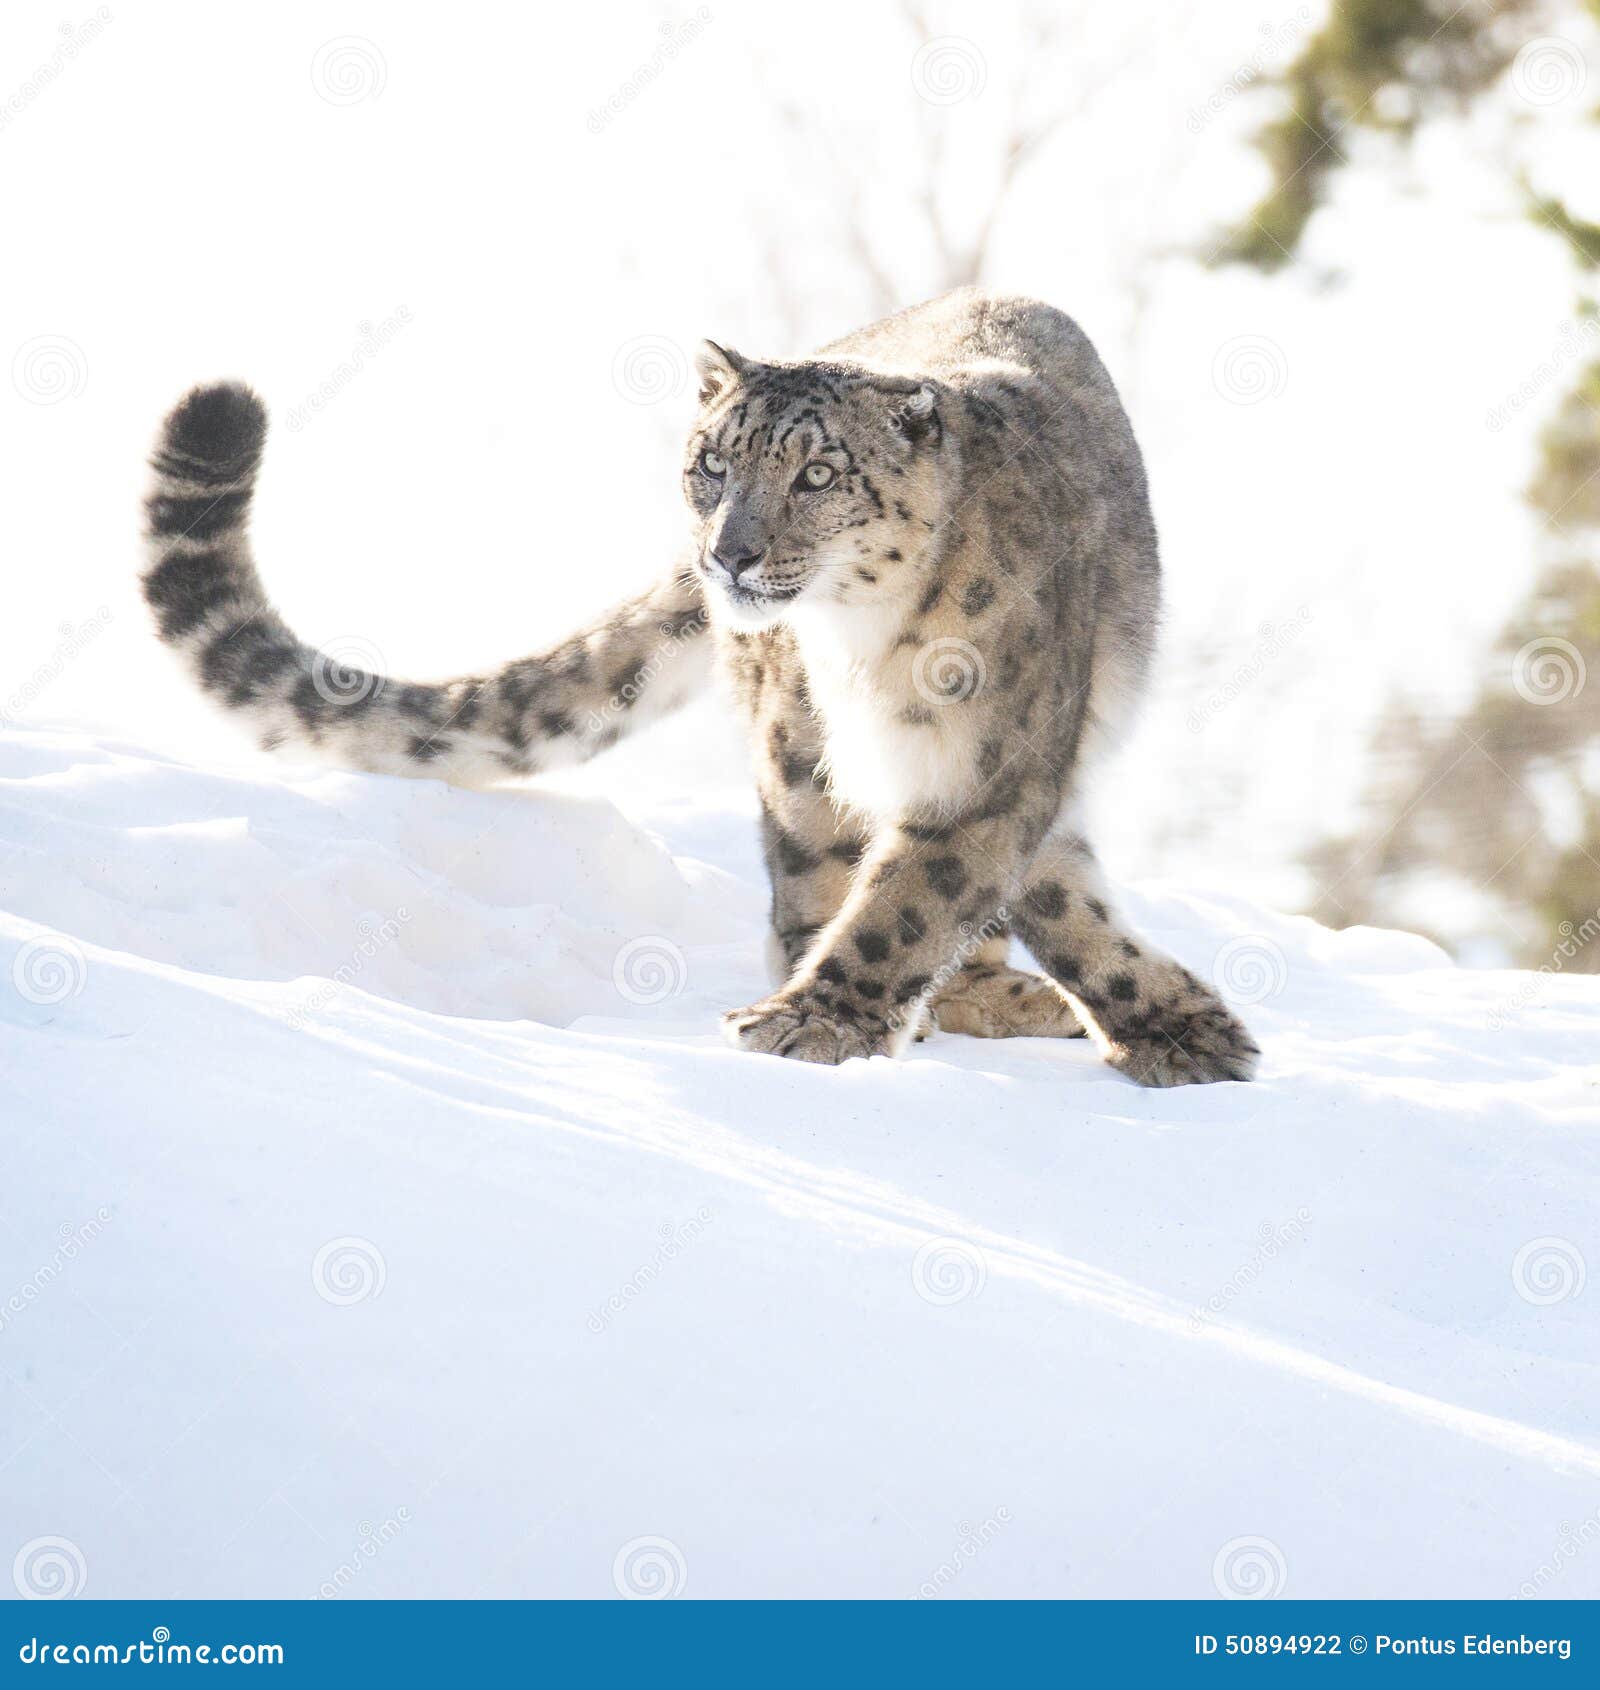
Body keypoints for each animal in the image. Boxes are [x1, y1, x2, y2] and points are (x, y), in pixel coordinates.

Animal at [140, 287, 1258, 1086]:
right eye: (712, 462)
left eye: (818, 475)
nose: (731, 552)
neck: (868, 647)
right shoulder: (868, 761)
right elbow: (907, 898)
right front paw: (814, 1020)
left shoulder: (990, 761)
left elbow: (957, 889)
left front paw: (1180, 1029)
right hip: (793, 741)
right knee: (826, 868)